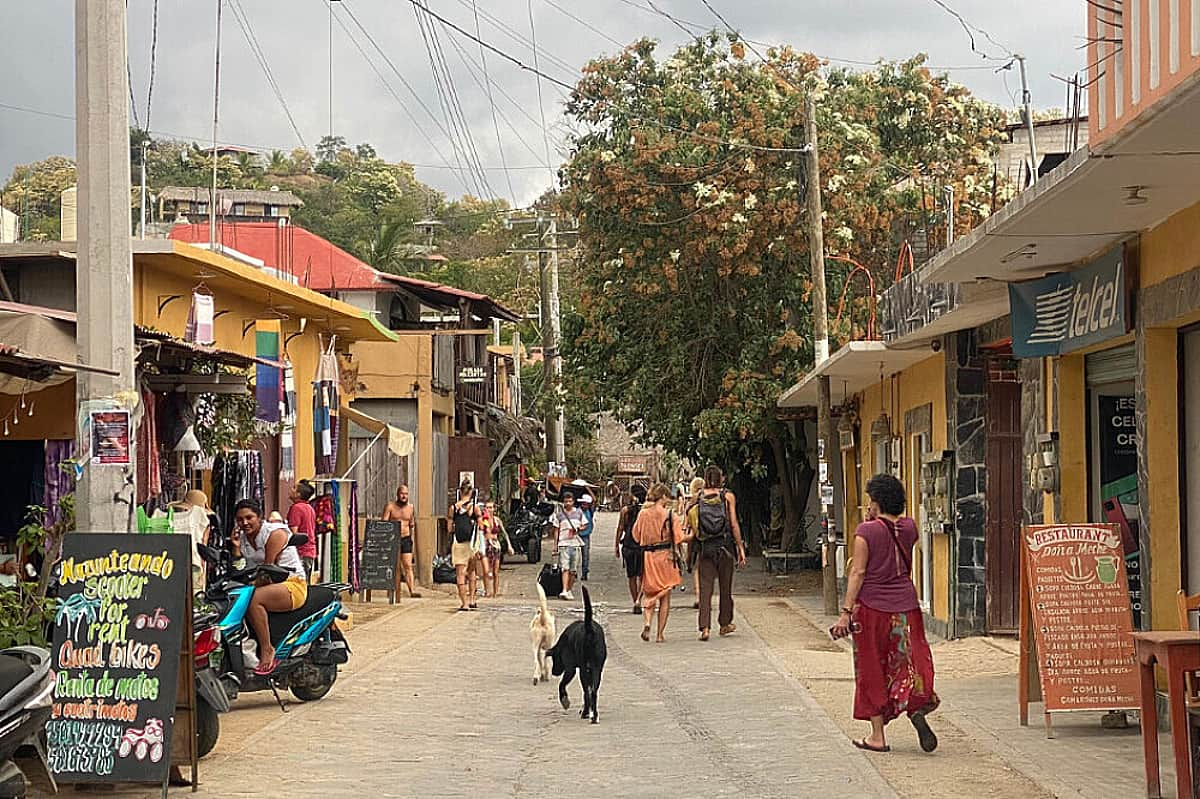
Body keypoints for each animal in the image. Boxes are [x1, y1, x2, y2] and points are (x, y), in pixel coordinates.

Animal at [549, 585, 609, 719]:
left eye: (554, 658)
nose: (553, 672)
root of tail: (589, 629)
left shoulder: (570, 669)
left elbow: (561, 685)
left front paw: (564, 700)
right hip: (596, 669)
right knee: (593, 692)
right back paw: (593, 715)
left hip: (582, 670)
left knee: (587, 692)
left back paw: (586, 712)